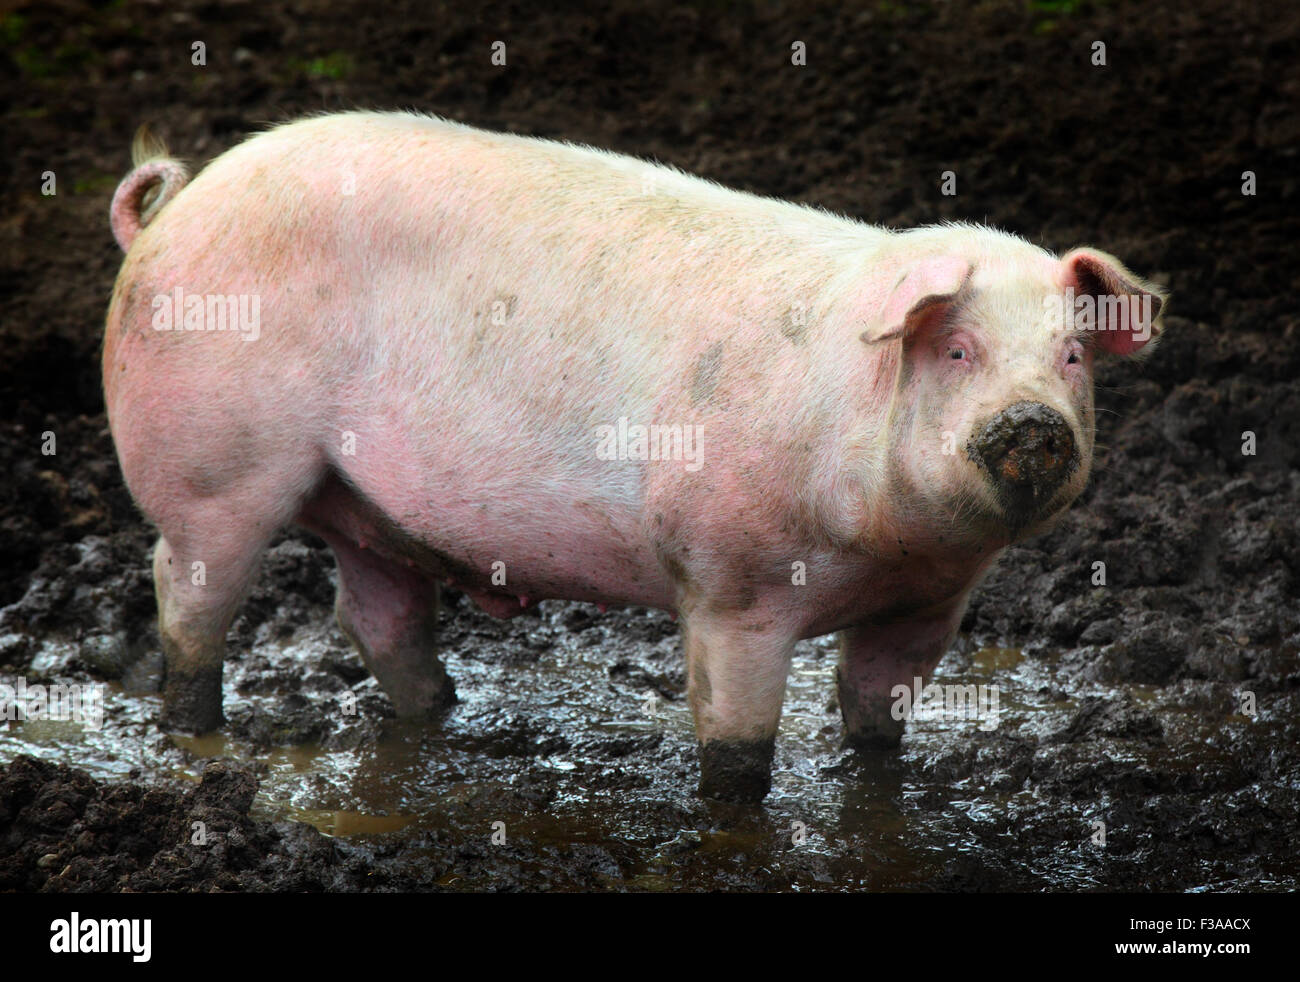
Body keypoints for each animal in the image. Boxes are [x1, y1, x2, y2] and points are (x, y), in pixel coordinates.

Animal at [103, 112, 1165, 802]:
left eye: (1071, 357)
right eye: (956, 352)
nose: (1032, 420)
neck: (884, 547)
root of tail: (173, 208)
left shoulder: (929, 605)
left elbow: (876, 727)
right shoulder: (731, 584)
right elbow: (735, 750)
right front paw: (733, 810)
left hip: (364, 506)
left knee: (370, 612)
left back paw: (440, 716)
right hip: (212, 466)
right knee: (185, 589)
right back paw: (197, 733)